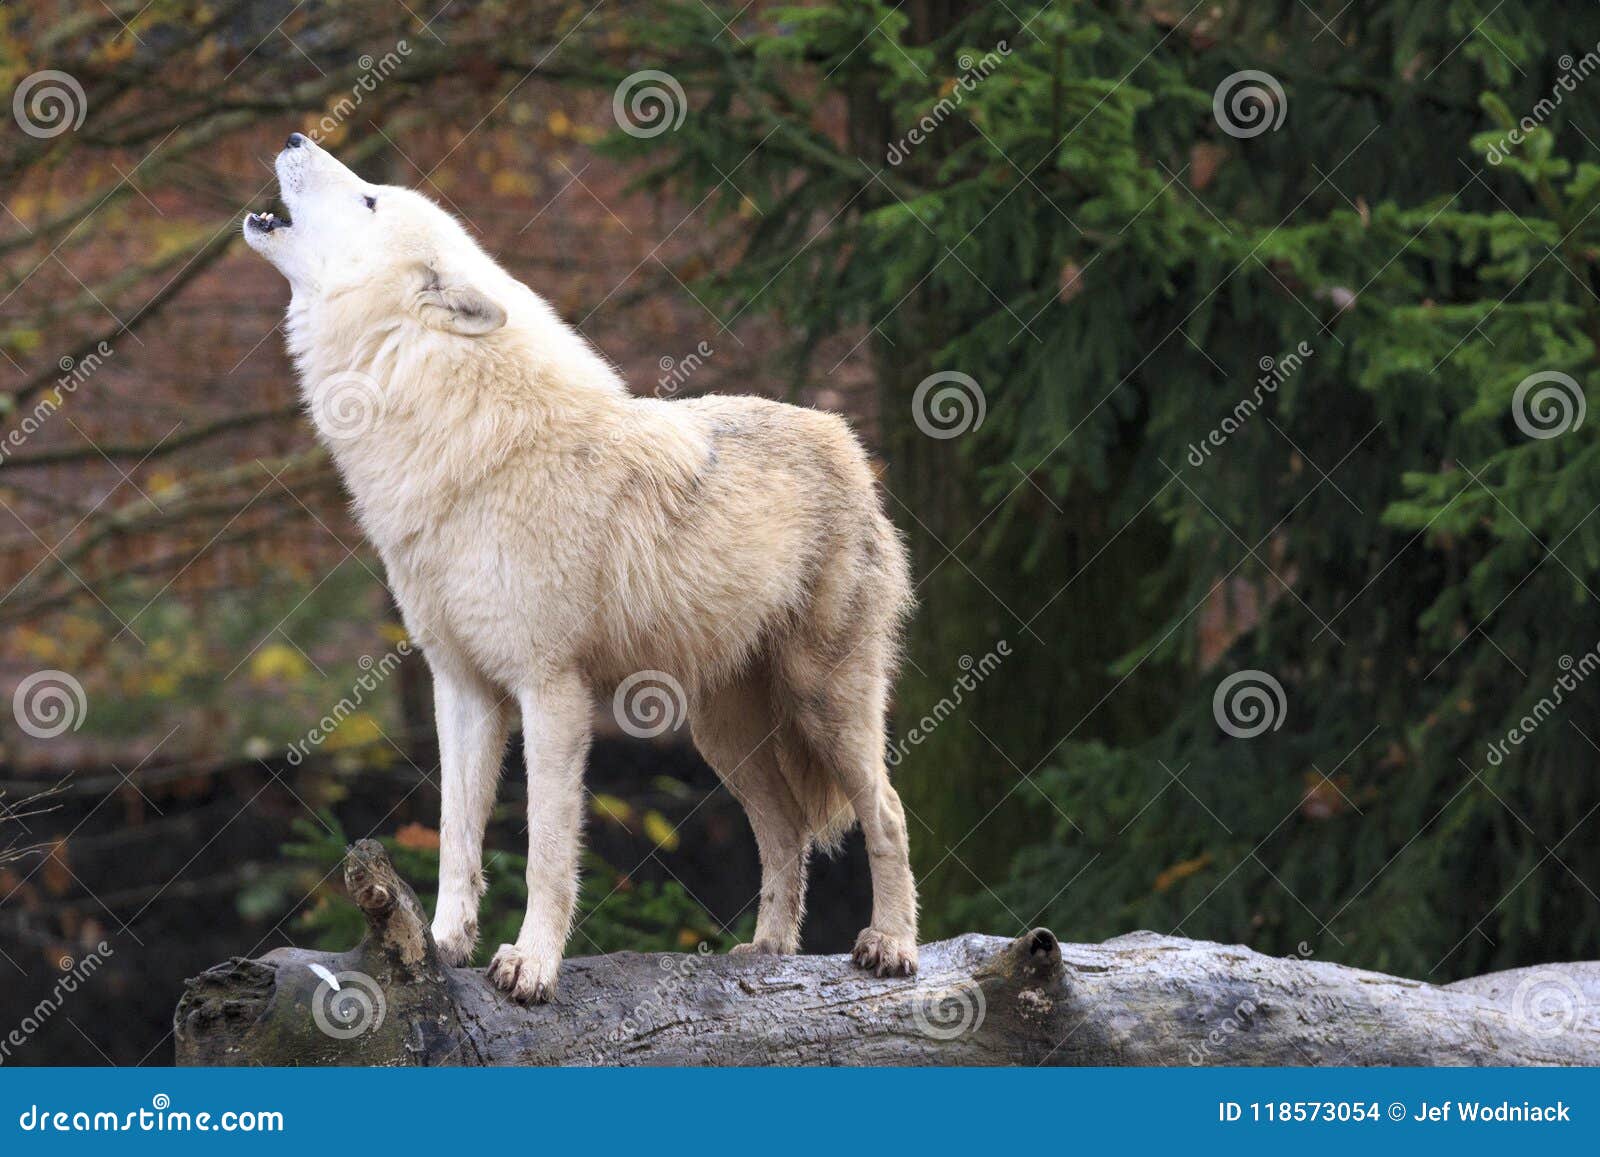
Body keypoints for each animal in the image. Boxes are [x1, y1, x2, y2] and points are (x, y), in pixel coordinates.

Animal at [242, 133, 919, 1001]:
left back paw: (891, 943)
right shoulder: (461, 687)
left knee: (886, 808)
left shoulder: (551, 688)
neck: (460, 439)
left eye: (368, 199)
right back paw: (768, 949)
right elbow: (457, 835)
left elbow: (544, 850)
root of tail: (847, 444)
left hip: (824, 702)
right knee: (786, 827)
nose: (296, 138)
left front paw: (530, 964)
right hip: (724, 734)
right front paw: (440, 945)